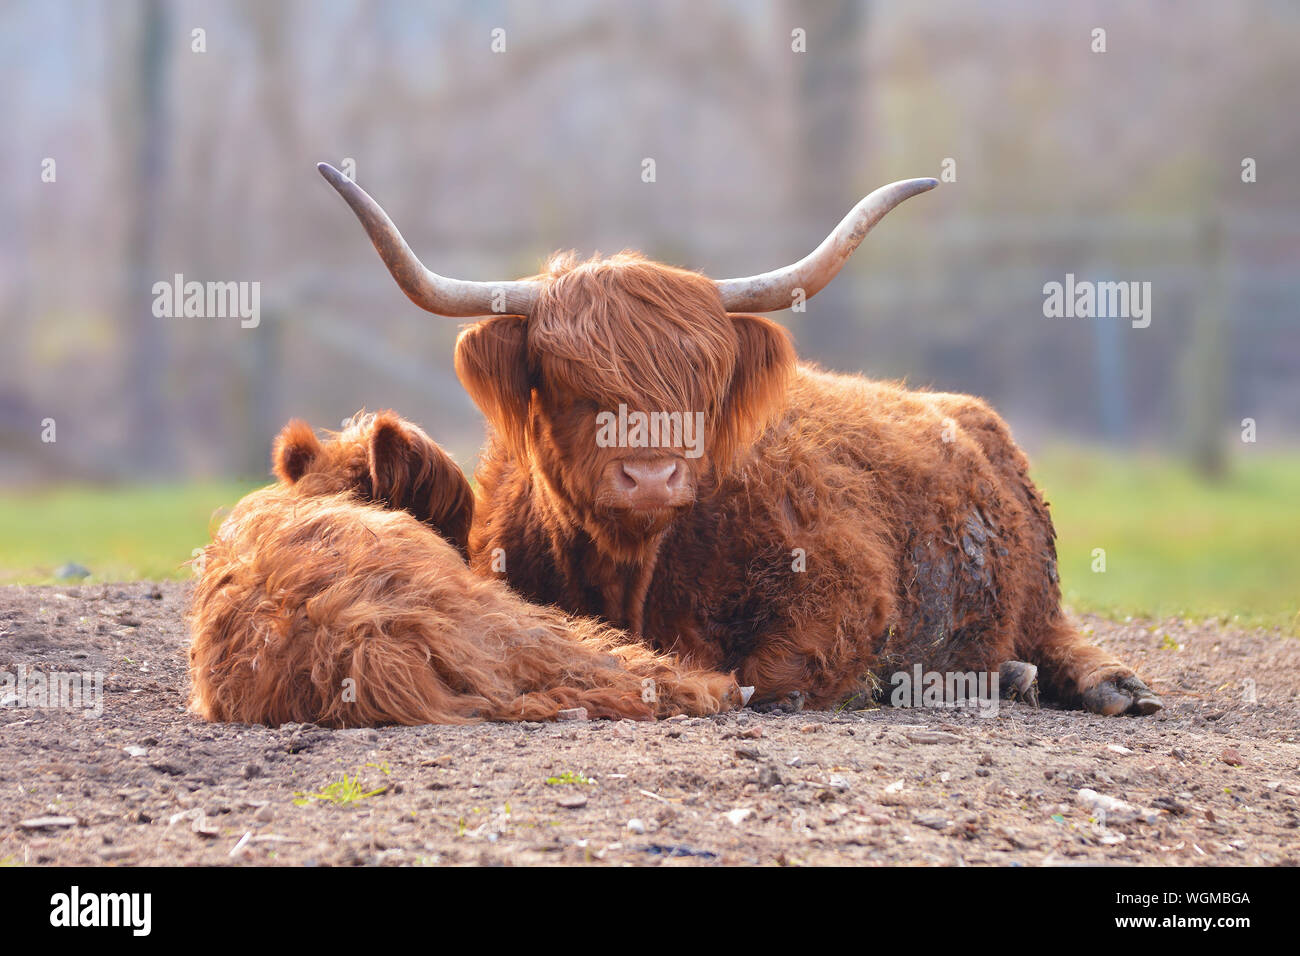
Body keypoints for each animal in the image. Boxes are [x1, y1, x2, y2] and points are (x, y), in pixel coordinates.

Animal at [318, 163, 1162, 717]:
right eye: (569, 381)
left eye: (703, 384)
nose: (651, 478)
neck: (631, 571)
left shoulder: (846, 586)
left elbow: (775, 676)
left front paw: (871, 683)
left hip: (1037, 579)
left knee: (1056, 633)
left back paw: (1109, 685)